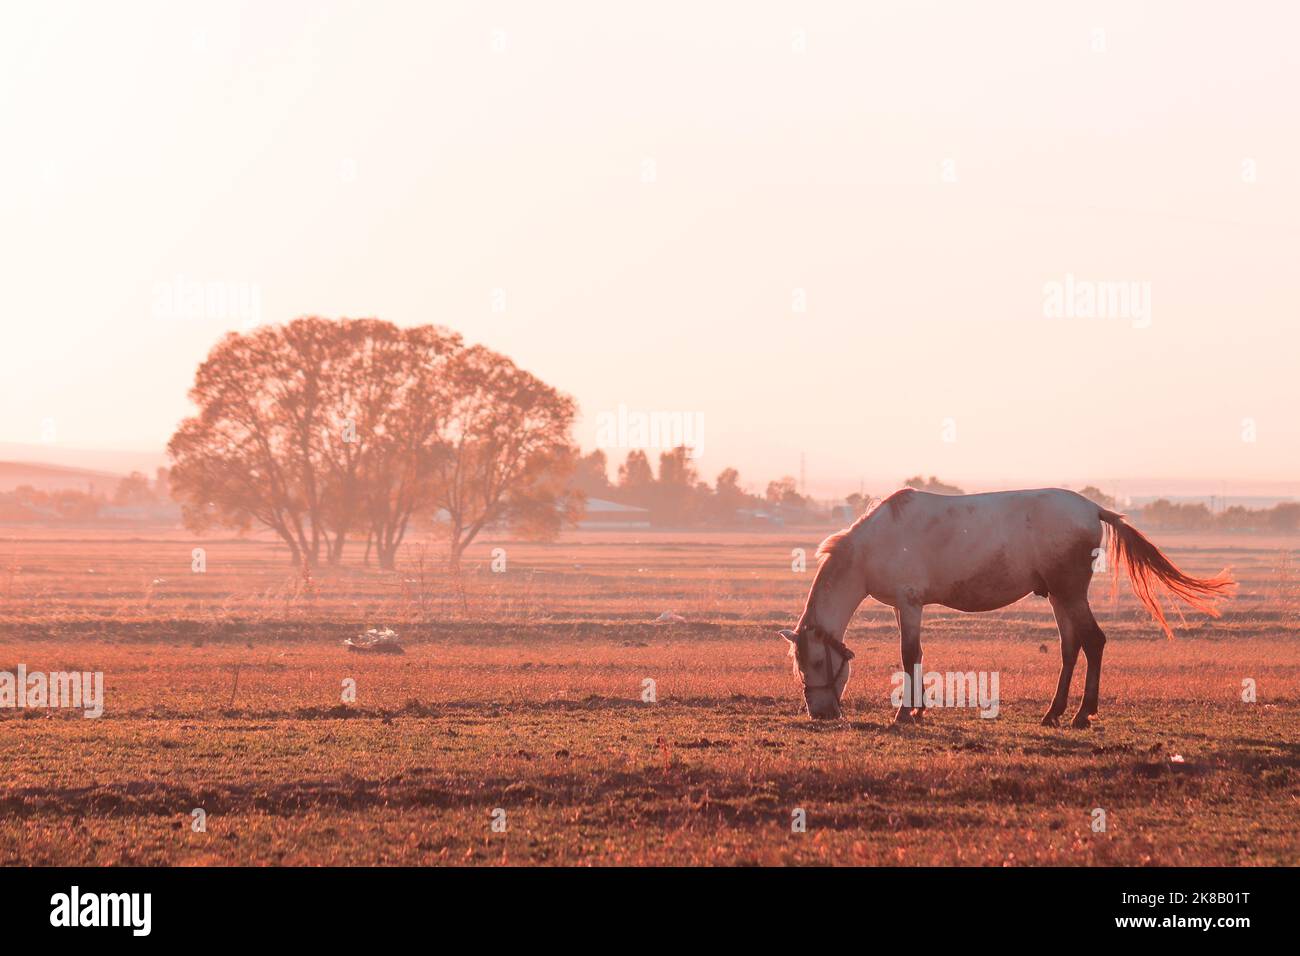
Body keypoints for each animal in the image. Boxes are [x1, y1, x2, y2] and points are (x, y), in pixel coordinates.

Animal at [779, 487, 1233, 727]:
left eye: (815, 663)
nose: (820, 714)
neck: (872, 545)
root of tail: (1092, 507)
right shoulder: (901, 607)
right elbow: (915, 657)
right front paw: (918, 708)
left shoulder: (910, 604)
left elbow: (909, 655)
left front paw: (907, 713)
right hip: (1059, 598)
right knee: (1071, 647)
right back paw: (1053, 712)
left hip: (1070, 594)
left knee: (1093, 641)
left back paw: (1082, 713)